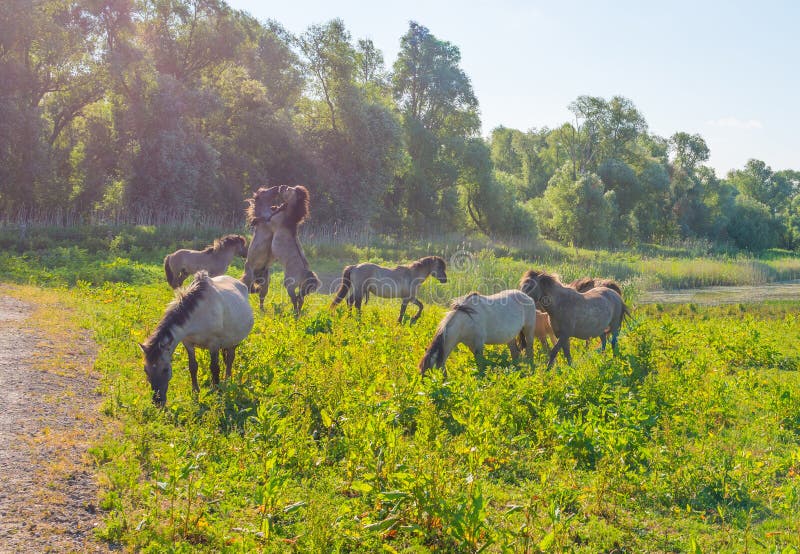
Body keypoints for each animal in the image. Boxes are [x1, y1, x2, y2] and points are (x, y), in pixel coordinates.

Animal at [139, 271, 254, 406]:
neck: (199, 313)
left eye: (165, 369)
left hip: (234, 341)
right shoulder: (188, 343)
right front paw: (195, 391)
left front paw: (217, 392)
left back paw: (227, 381)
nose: (157, 401)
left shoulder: (214, 344)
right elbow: (192, 367)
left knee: (230, 359)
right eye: (146, 370)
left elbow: (214, 368)